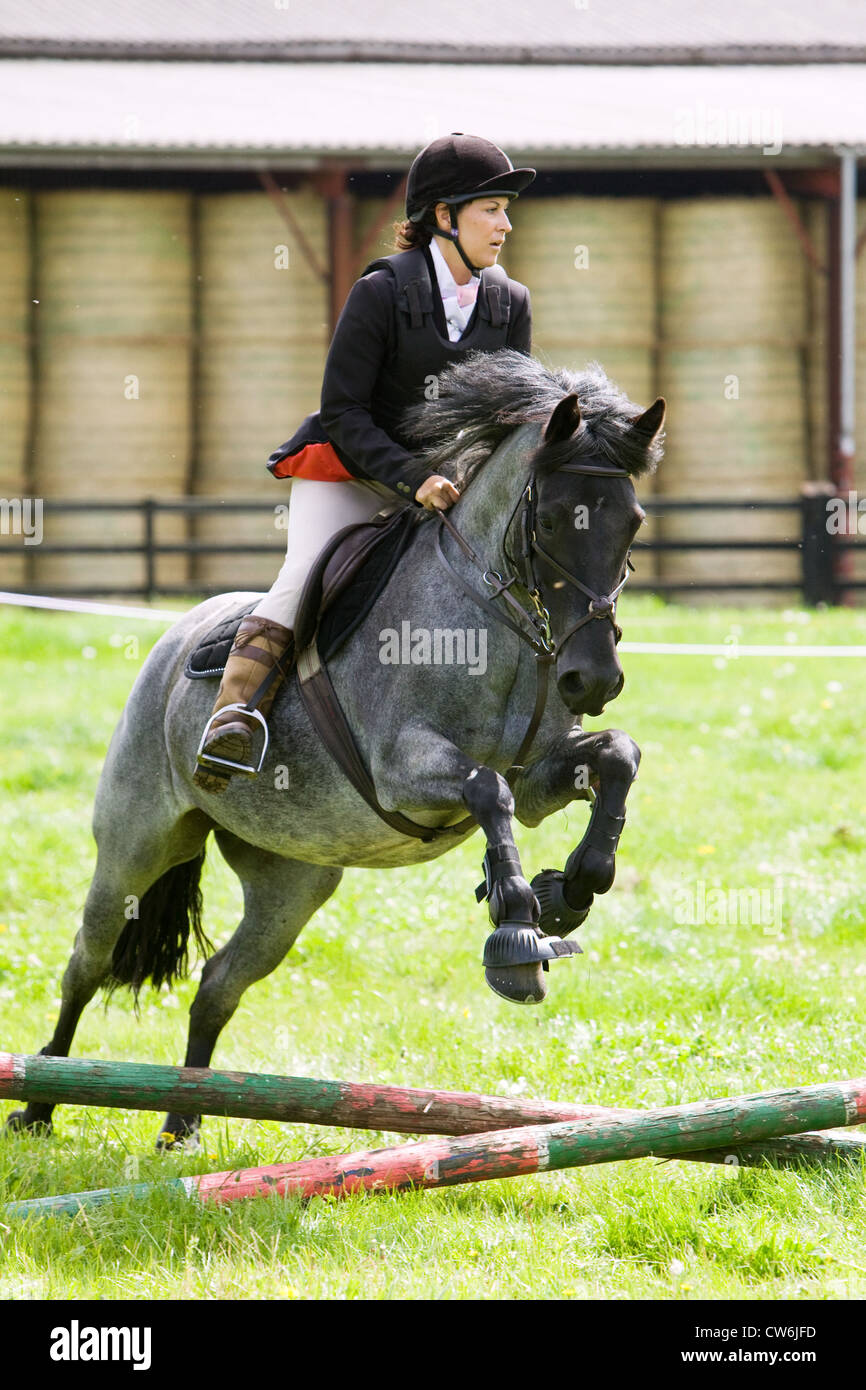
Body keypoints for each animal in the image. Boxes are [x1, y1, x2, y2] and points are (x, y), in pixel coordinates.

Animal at [7, 350, 664, 1150]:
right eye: (546, 521)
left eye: (633, 523)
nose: (591, 679)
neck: (496, 623)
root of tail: (172, 638)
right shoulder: (401, 771)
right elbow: (488, 788)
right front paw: (516, 924)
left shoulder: (542, 775)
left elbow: (615, 758)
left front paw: (567, 892)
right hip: (135, 845)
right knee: (87, 962)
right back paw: (39, 1104)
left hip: (292, 882)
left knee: (217, 985)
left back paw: (182, 1121)